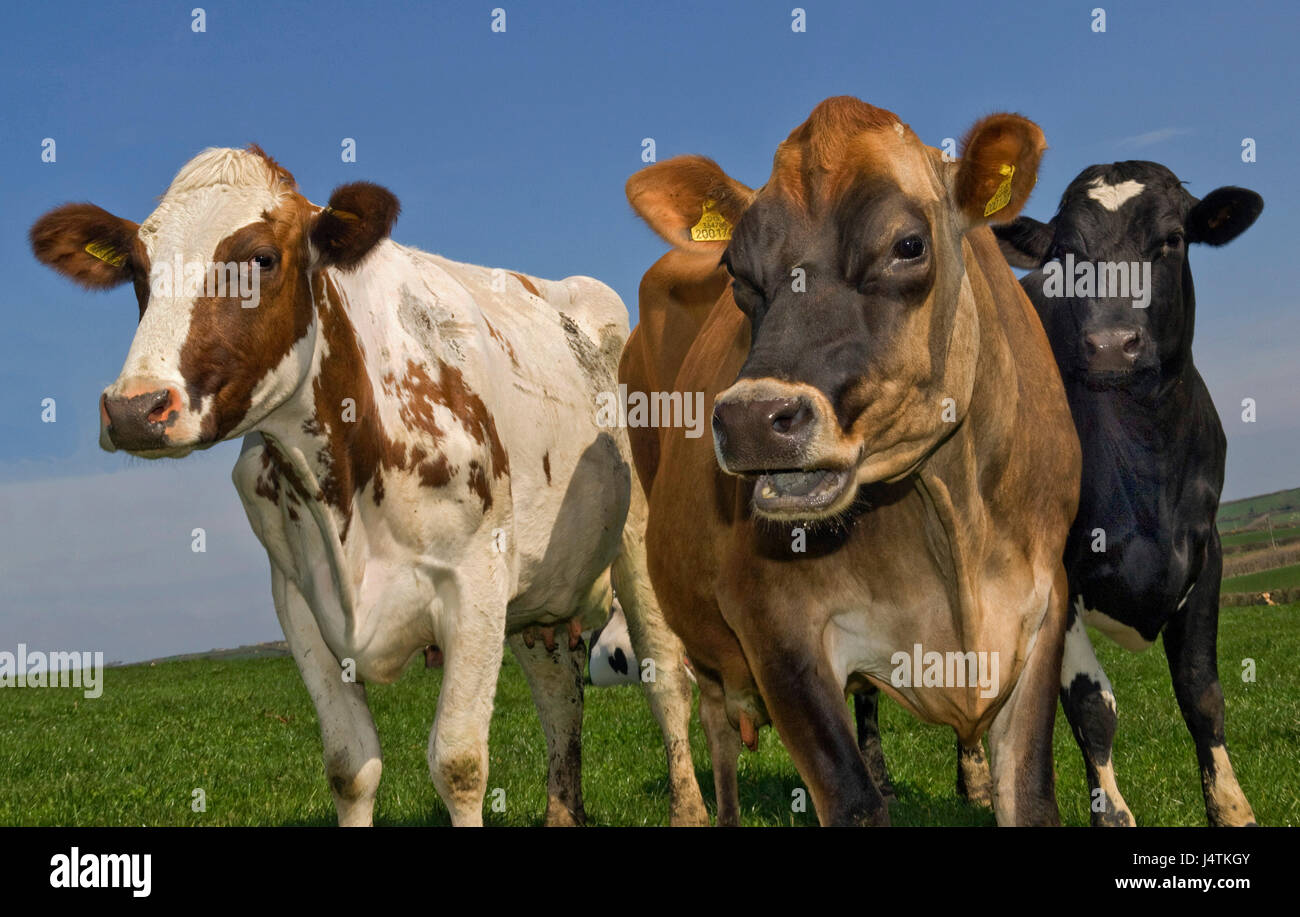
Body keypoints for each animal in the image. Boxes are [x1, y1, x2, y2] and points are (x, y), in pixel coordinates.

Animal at [29, 146, 707, 827]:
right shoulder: (297, 600)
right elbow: (350, 767)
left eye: (261, 258)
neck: (344, 490)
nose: (134, 408)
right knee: (558, 694)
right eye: (138, 270)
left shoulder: (477, 583)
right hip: (541, 590)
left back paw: (689, 808)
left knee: (667, 680)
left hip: (638, 544)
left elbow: (460, 763)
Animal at [620, 96, 1081, 826]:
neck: (950, 522)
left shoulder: (1042, 604)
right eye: (736, 273)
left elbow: (1032, 797)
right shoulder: (775, 624)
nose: (750, 419)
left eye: (908, 245)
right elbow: (853, 800)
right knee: (713, 728)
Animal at [993, 161, 1263, 826]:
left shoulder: (1207, 550)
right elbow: (1093, 707)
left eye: (1171, 239)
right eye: (1066, 254)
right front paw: (1111, 813)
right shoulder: (1056, 569)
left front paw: (1232, 807)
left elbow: (1201, 690)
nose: (1113, 343)